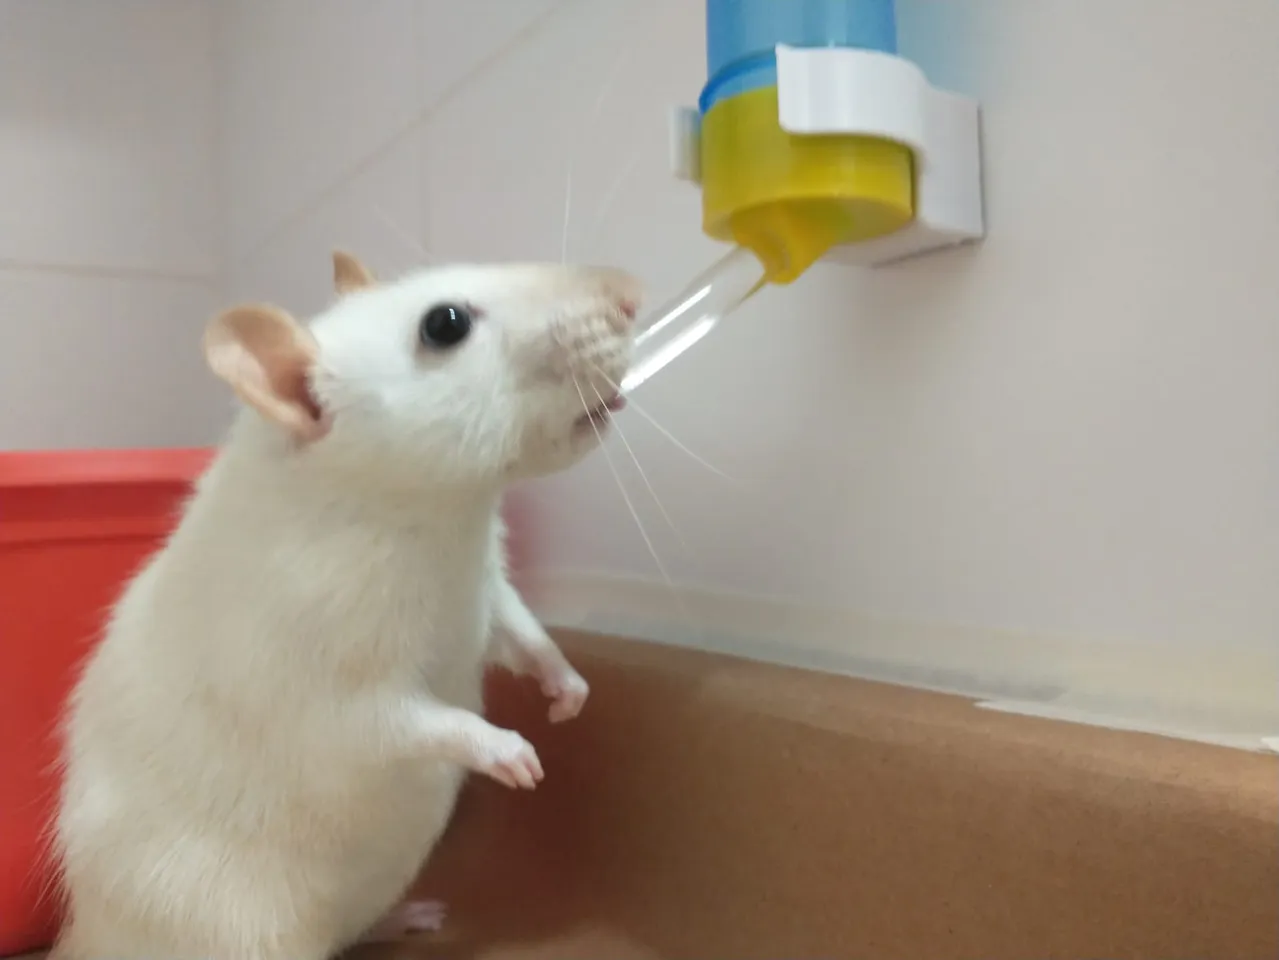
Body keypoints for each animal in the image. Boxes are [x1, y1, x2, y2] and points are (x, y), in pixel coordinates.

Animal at [49, 251, 641, 960]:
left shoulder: (488, 586)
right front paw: (503, 749)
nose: (631, 293)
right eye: (445, 325)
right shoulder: (311, 656)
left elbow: (518, 629)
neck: (439, 518)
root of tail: (87, 937)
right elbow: (385, 723)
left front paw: (566, 686)